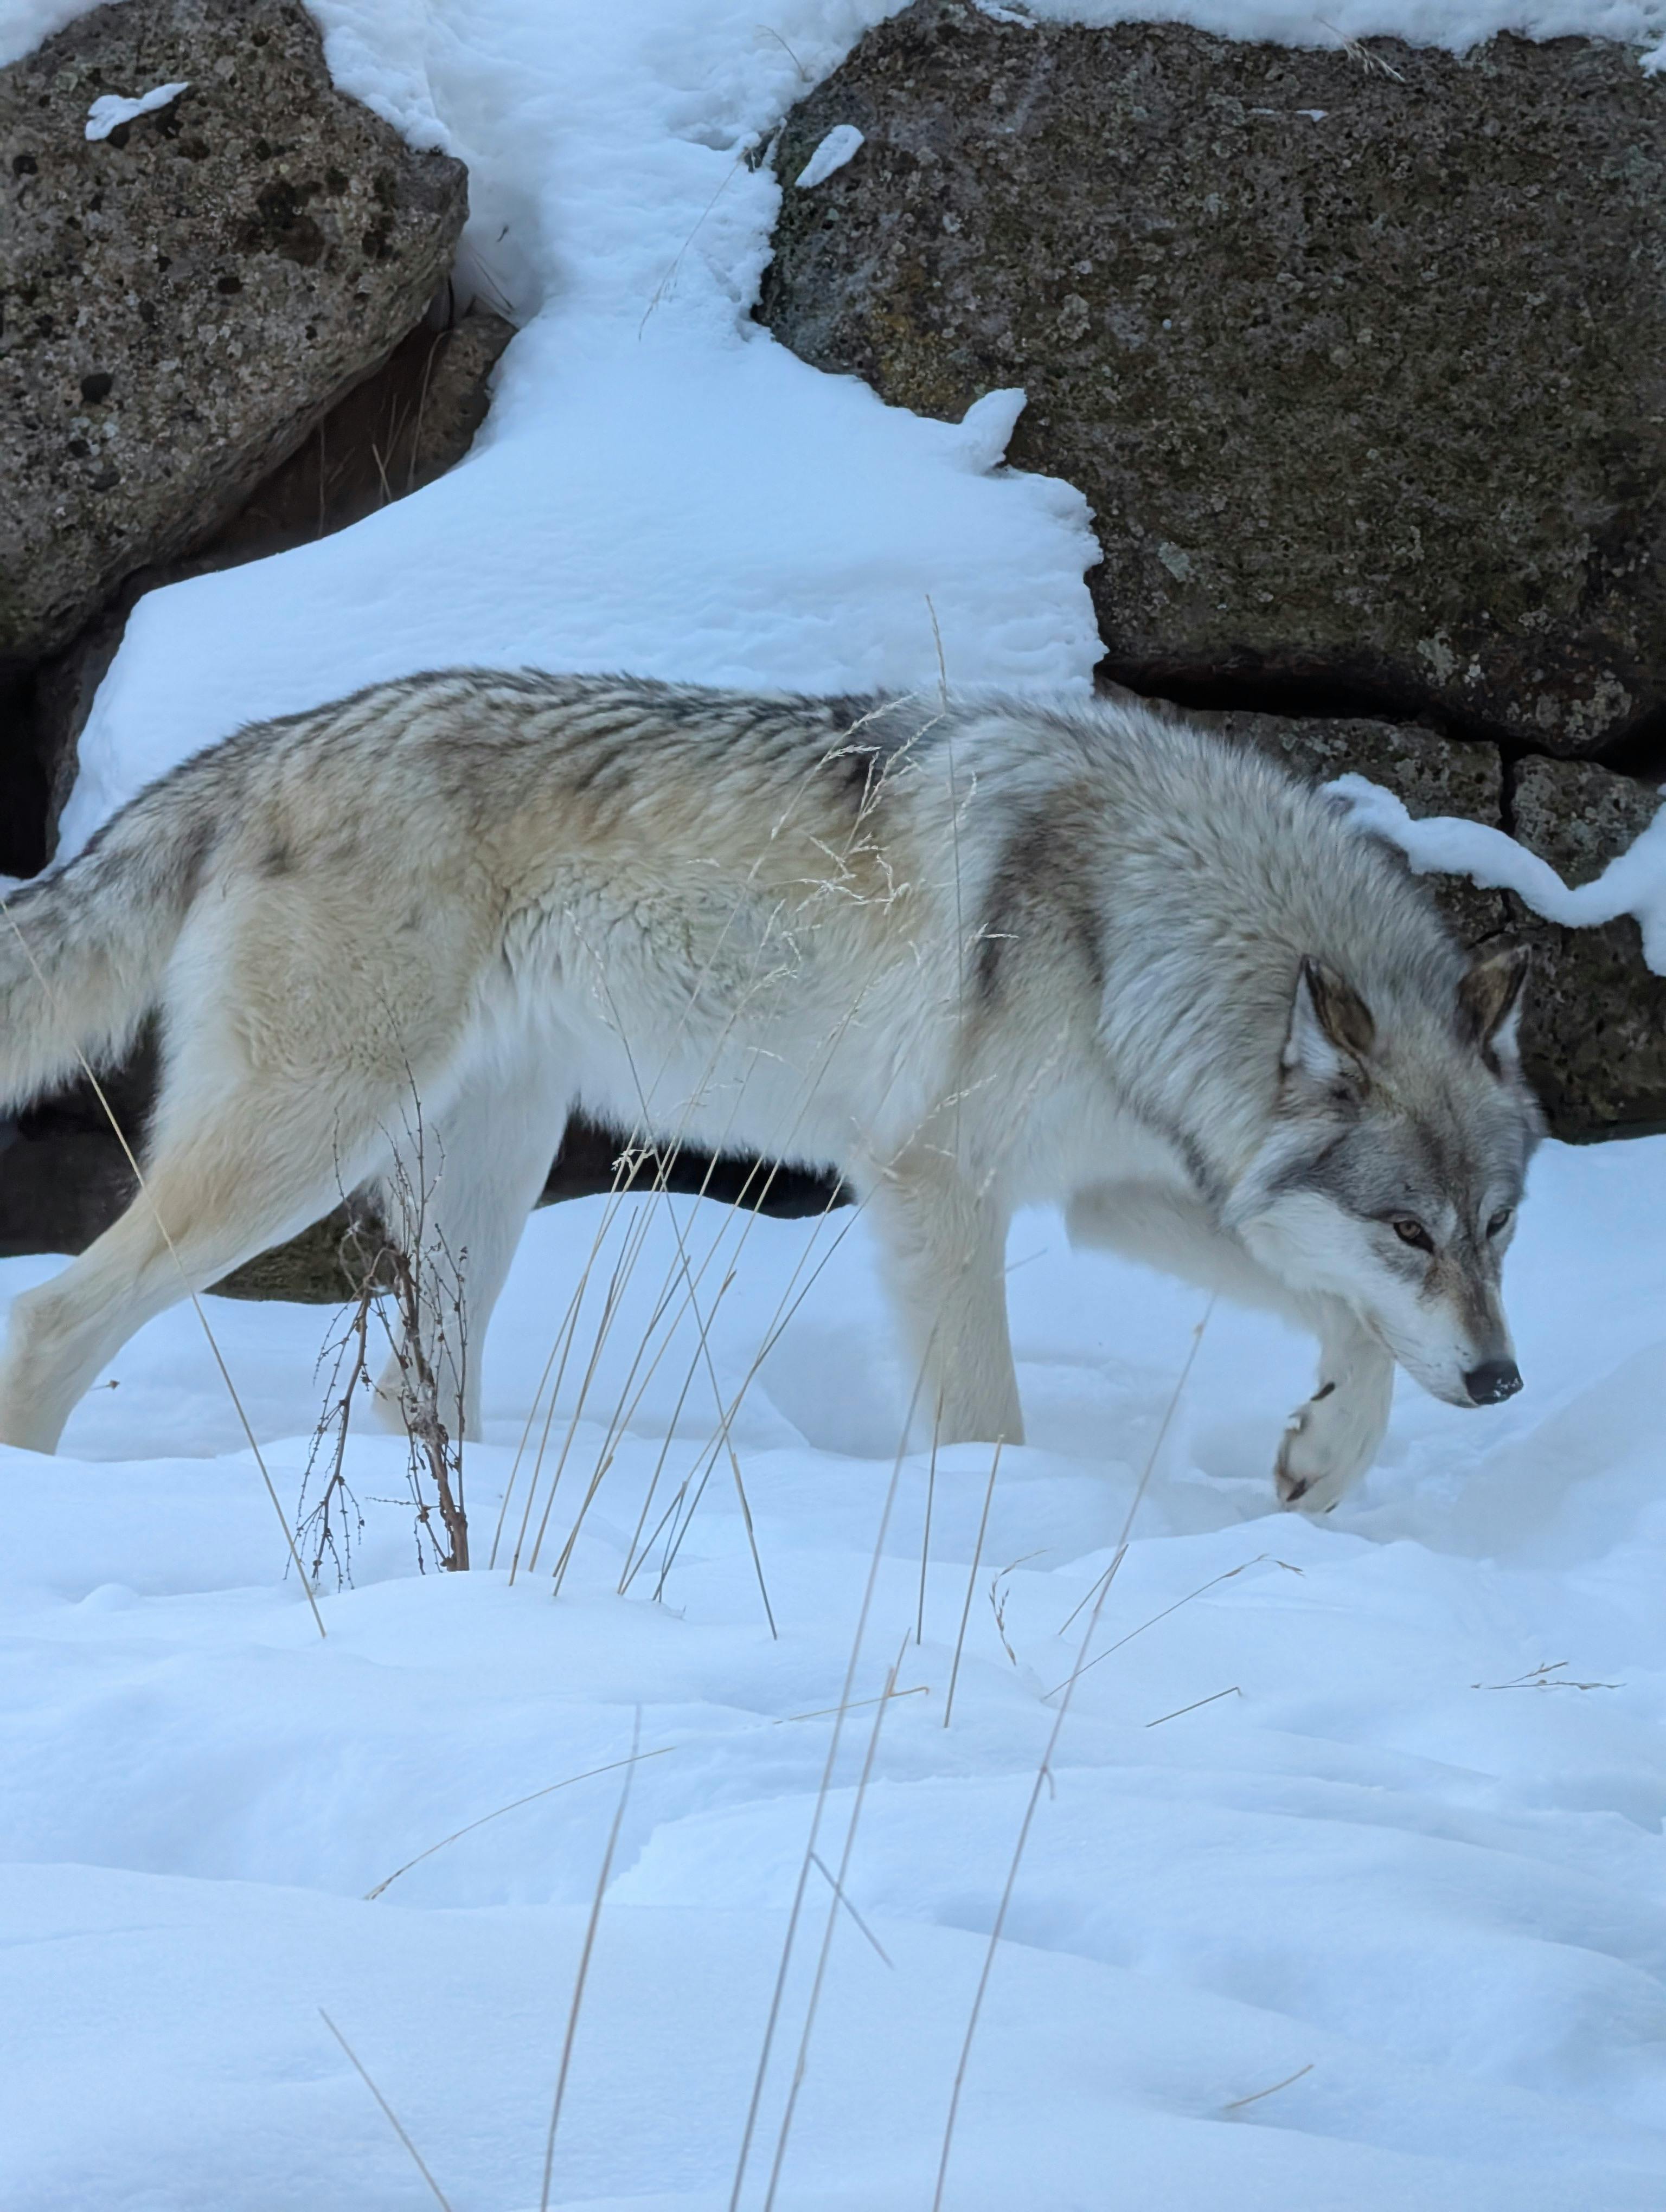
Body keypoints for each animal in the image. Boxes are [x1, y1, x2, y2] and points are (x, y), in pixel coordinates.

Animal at [0, 672, 1540, 1508]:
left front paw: (1326, 1453)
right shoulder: (936, 1189)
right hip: (299, 1153)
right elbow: (987, 1423)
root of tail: (264, 745)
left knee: (407, 1393)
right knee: (48, 1317)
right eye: (1410, 1226)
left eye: (1496, 1228)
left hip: (480, 1180)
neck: (1128, 916)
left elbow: (1339, 1317)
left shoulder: (1118, 1194)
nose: (1505, 1380)